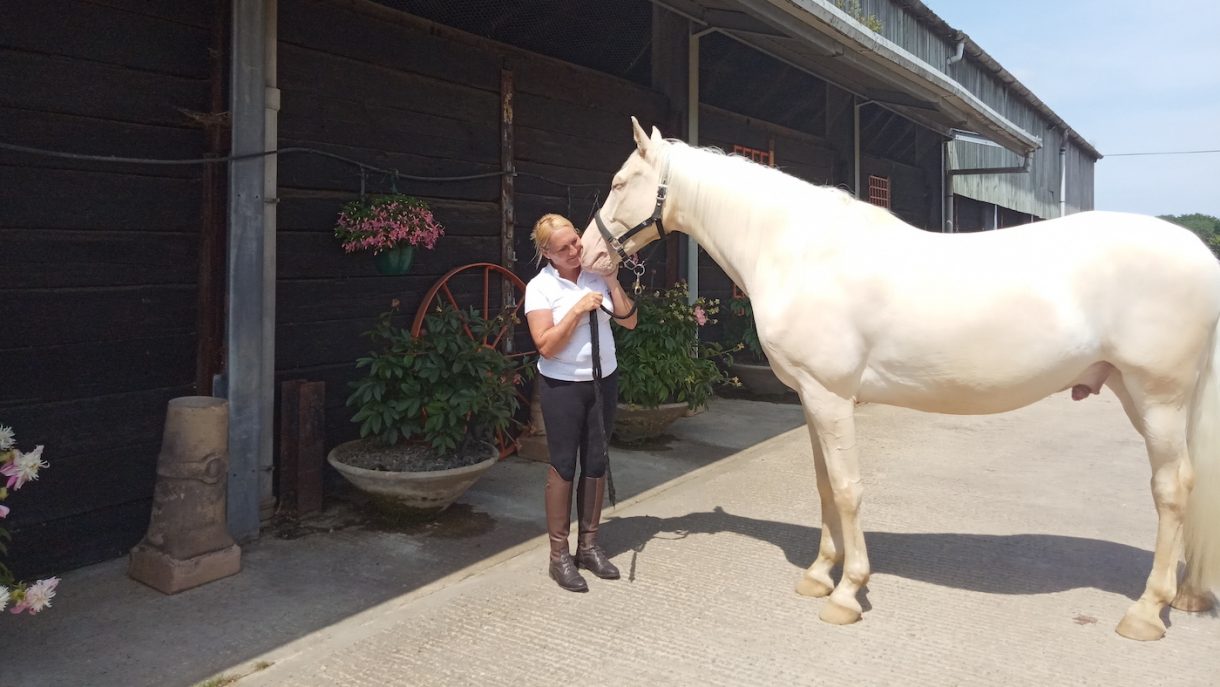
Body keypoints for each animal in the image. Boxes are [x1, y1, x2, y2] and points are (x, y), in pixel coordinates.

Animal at [578, 117, 1220, 641]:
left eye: (619, 182)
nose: (585, 254)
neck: (802, 252)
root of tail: (1201, 255)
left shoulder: (832, 396)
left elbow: (847, 489)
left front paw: (847, 593)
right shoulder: (811, 398)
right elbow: (823, 487)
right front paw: (820, 574)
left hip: (1157, 399)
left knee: (1173, 489)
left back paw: (1146, 612)